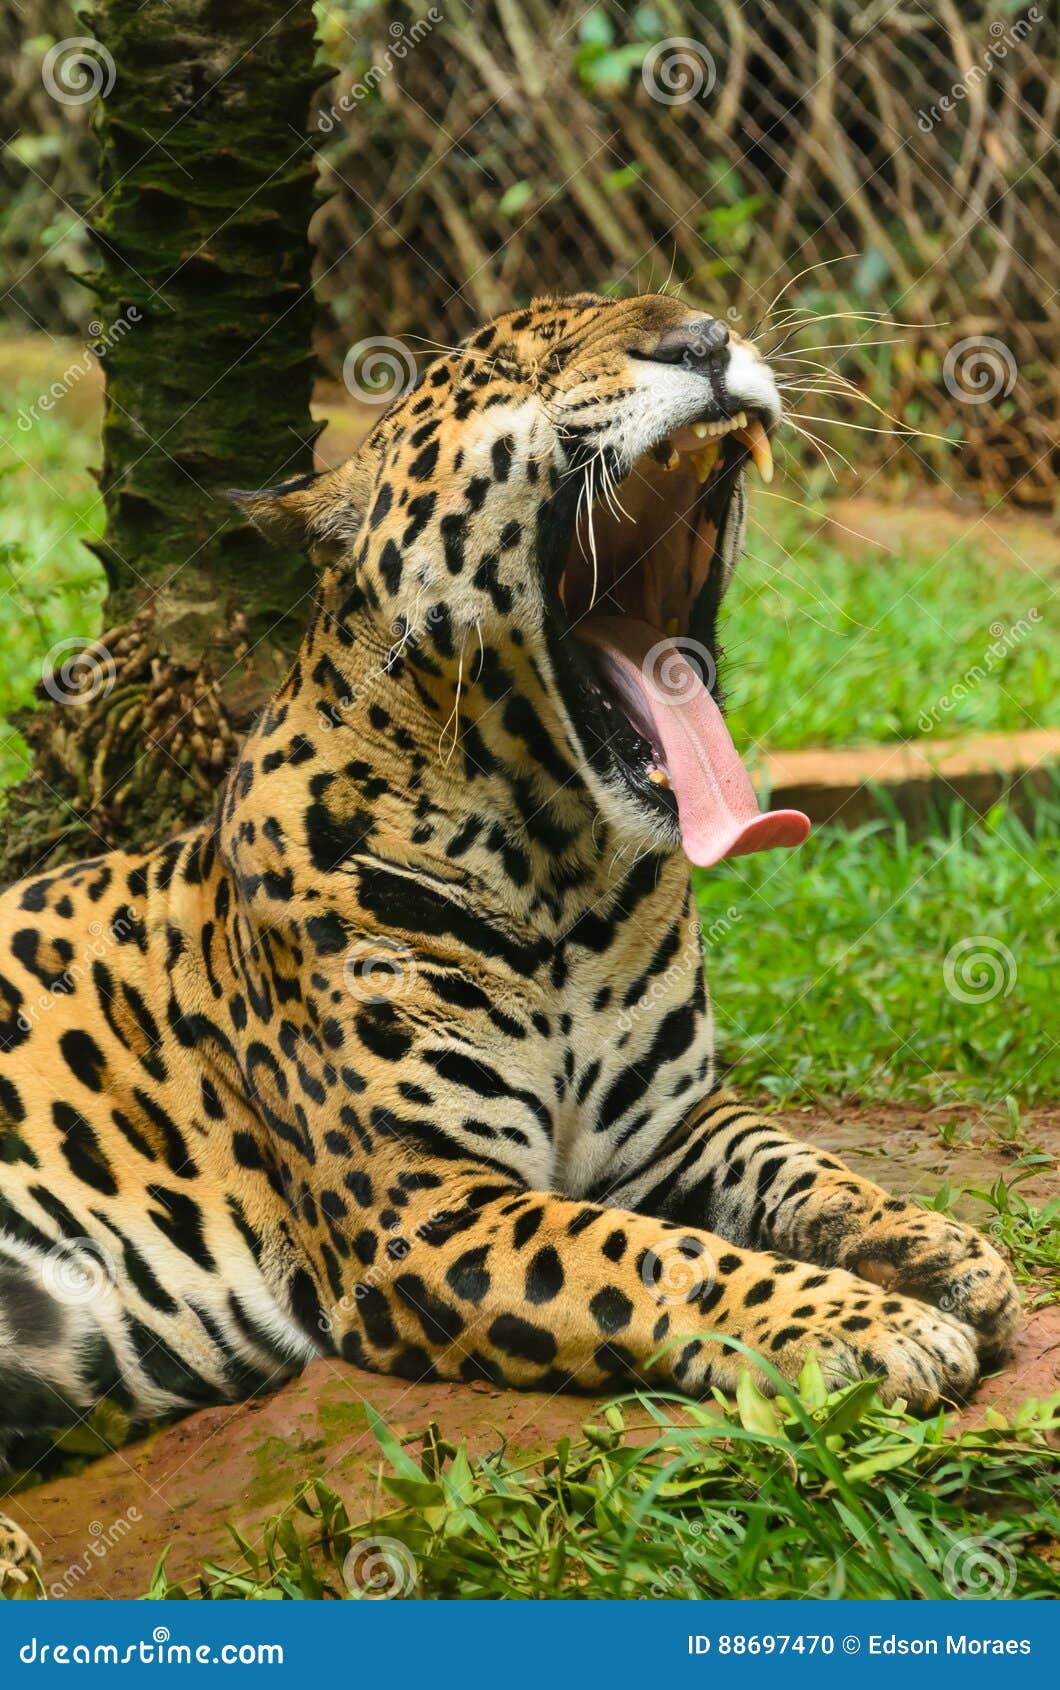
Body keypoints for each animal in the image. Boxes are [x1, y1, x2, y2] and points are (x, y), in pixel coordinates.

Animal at [0, 292, 1018, 1591]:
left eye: (692, 317)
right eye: (520, 362)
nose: (703, 339)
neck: (560, 867)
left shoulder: (669, 1125)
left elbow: (799, 1164)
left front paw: (935, 1246)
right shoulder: (423, 1203)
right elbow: (649, 1254)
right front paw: (875, 1324)